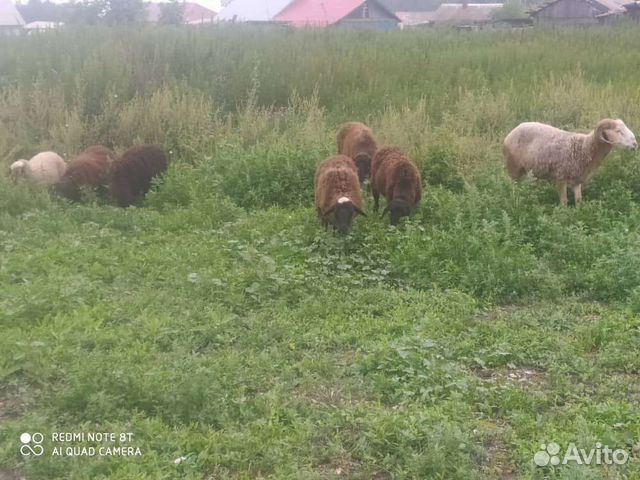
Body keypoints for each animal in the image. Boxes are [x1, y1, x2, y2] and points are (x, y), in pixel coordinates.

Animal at [504, 118, 638, 205]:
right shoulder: (560, 178)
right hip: (513, 168)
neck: (583, 148)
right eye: (618, 131)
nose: (635, 144)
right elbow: (564, 203)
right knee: (512, 187)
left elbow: (579, 201)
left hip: (529, 172)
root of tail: (513, 131)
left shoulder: (577, 181)